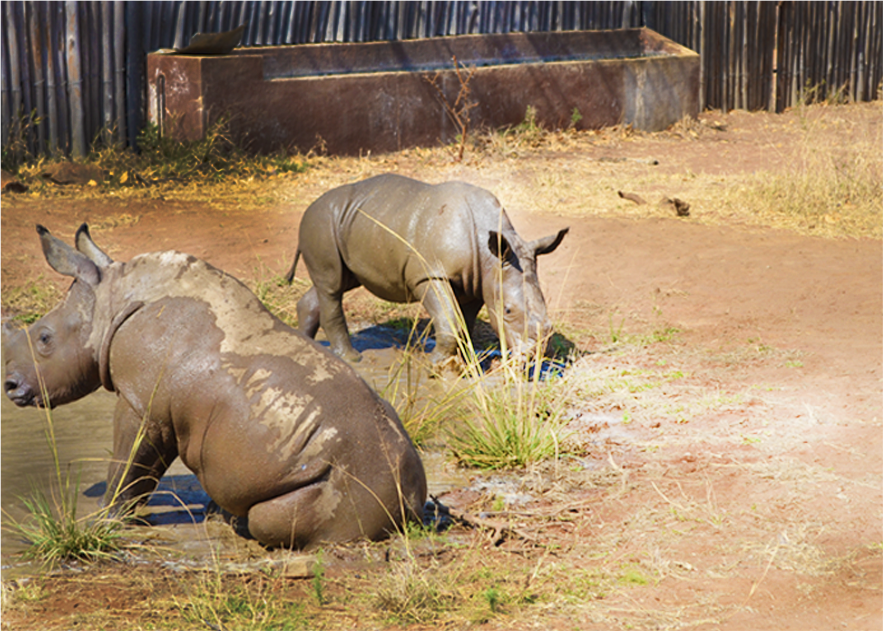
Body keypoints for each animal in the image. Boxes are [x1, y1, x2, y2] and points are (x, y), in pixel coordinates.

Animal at [3, 224, 426, 550]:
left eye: (44, 338)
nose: (10, 385)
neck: (111, 302)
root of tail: (412, 504)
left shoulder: (143, 404)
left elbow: (128, 463)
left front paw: (109, 518)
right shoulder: (159, 411)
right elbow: (143, 469)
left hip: (352, 484)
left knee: (267, 518)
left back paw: (235, 524)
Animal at [286, 174, 568, 363]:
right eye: (508, 310)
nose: (534, 355)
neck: (489, 257)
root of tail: (309, 208)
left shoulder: (477, 282)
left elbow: (465, 321)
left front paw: (465, 363)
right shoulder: (429, 274)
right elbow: (450, 319)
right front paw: (434, 364)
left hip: (351, 224)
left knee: (336, 283)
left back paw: (305, 346)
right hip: (321, 222)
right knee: (332, 286)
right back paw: (351, 358)